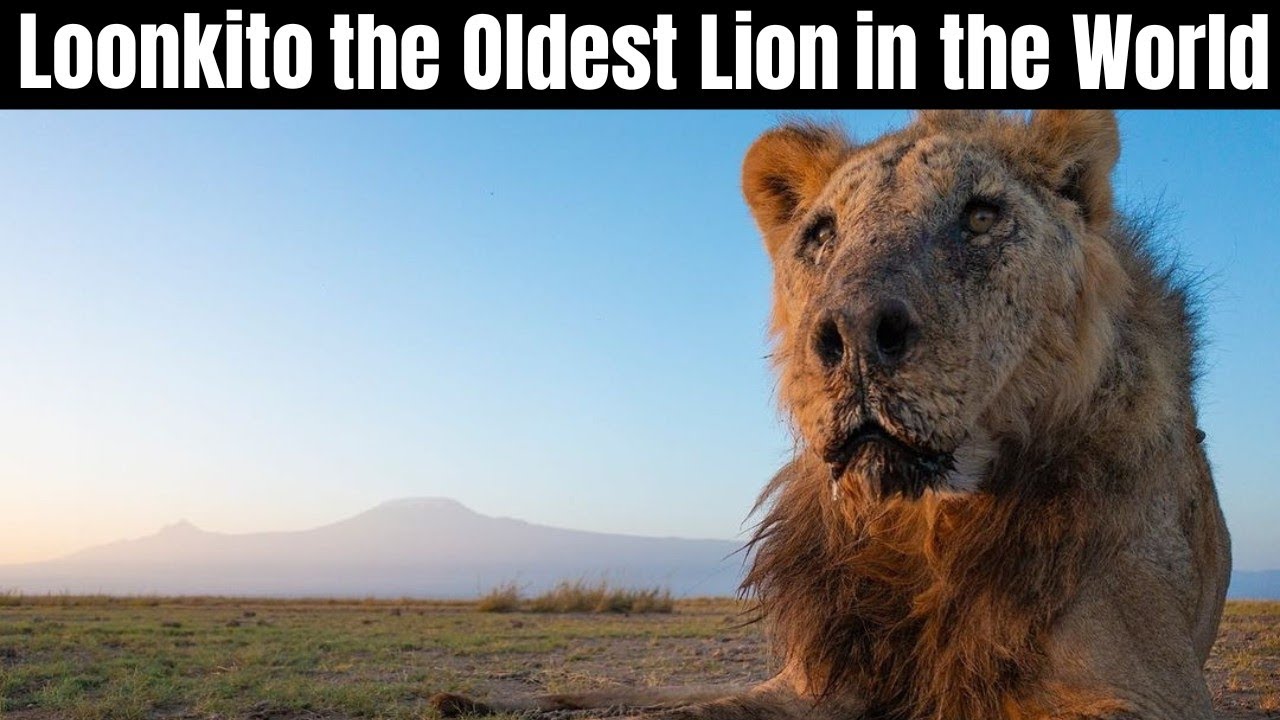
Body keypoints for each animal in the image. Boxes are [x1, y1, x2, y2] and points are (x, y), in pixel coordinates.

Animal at [432, 110, 1232, 720]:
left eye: (981, 217)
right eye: (820, 236)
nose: (851, 334)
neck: (924, 523)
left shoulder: (1147, 690)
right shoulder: (818, 681)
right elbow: (690, 708)